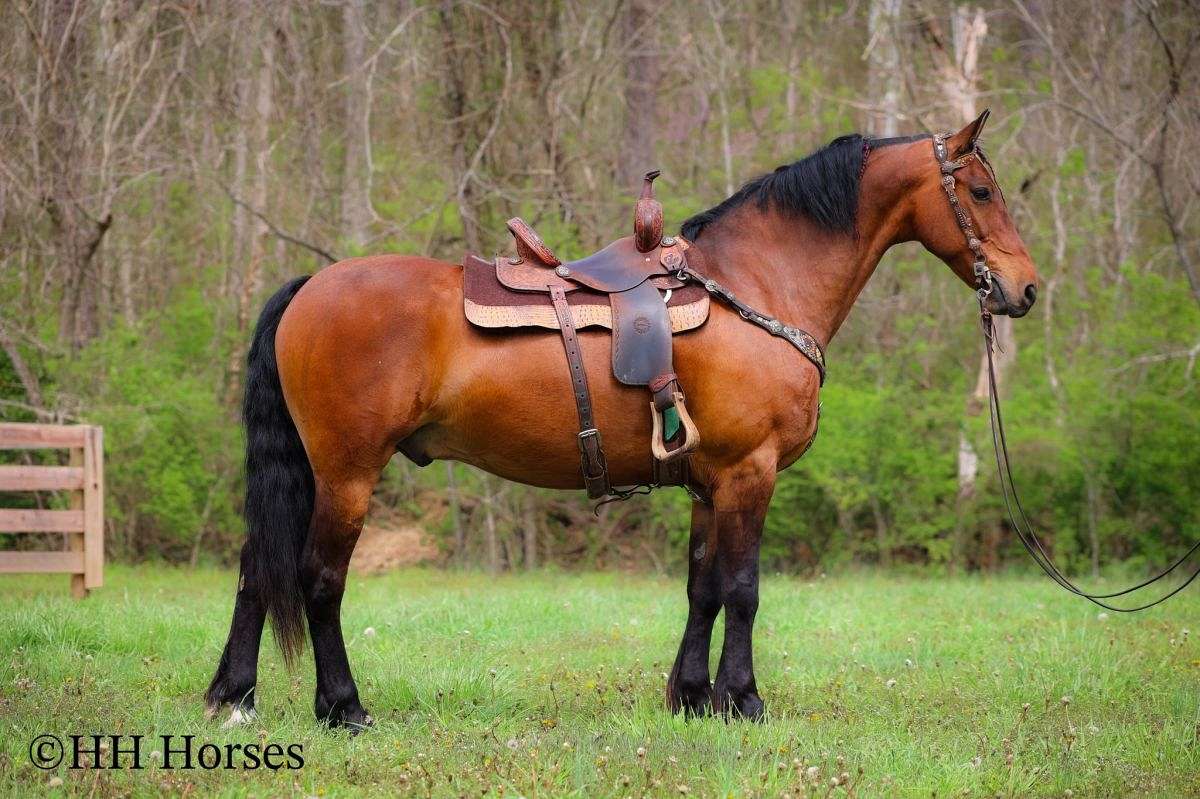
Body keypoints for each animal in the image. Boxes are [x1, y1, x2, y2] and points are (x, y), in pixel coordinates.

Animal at [205, 111, 1039, 728]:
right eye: (981, 190)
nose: (1026, 289)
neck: (755, 284)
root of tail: (312, 286)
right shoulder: (750, 469)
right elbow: (743, 587)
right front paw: (743, 698)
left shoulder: (709, 481)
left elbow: (703, 587)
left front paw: (693, 697)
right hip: (347, 472)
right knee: (318, 579)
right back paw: (342, 707)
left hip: (312, 472)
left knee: (255, 569)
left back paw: (234, 696)